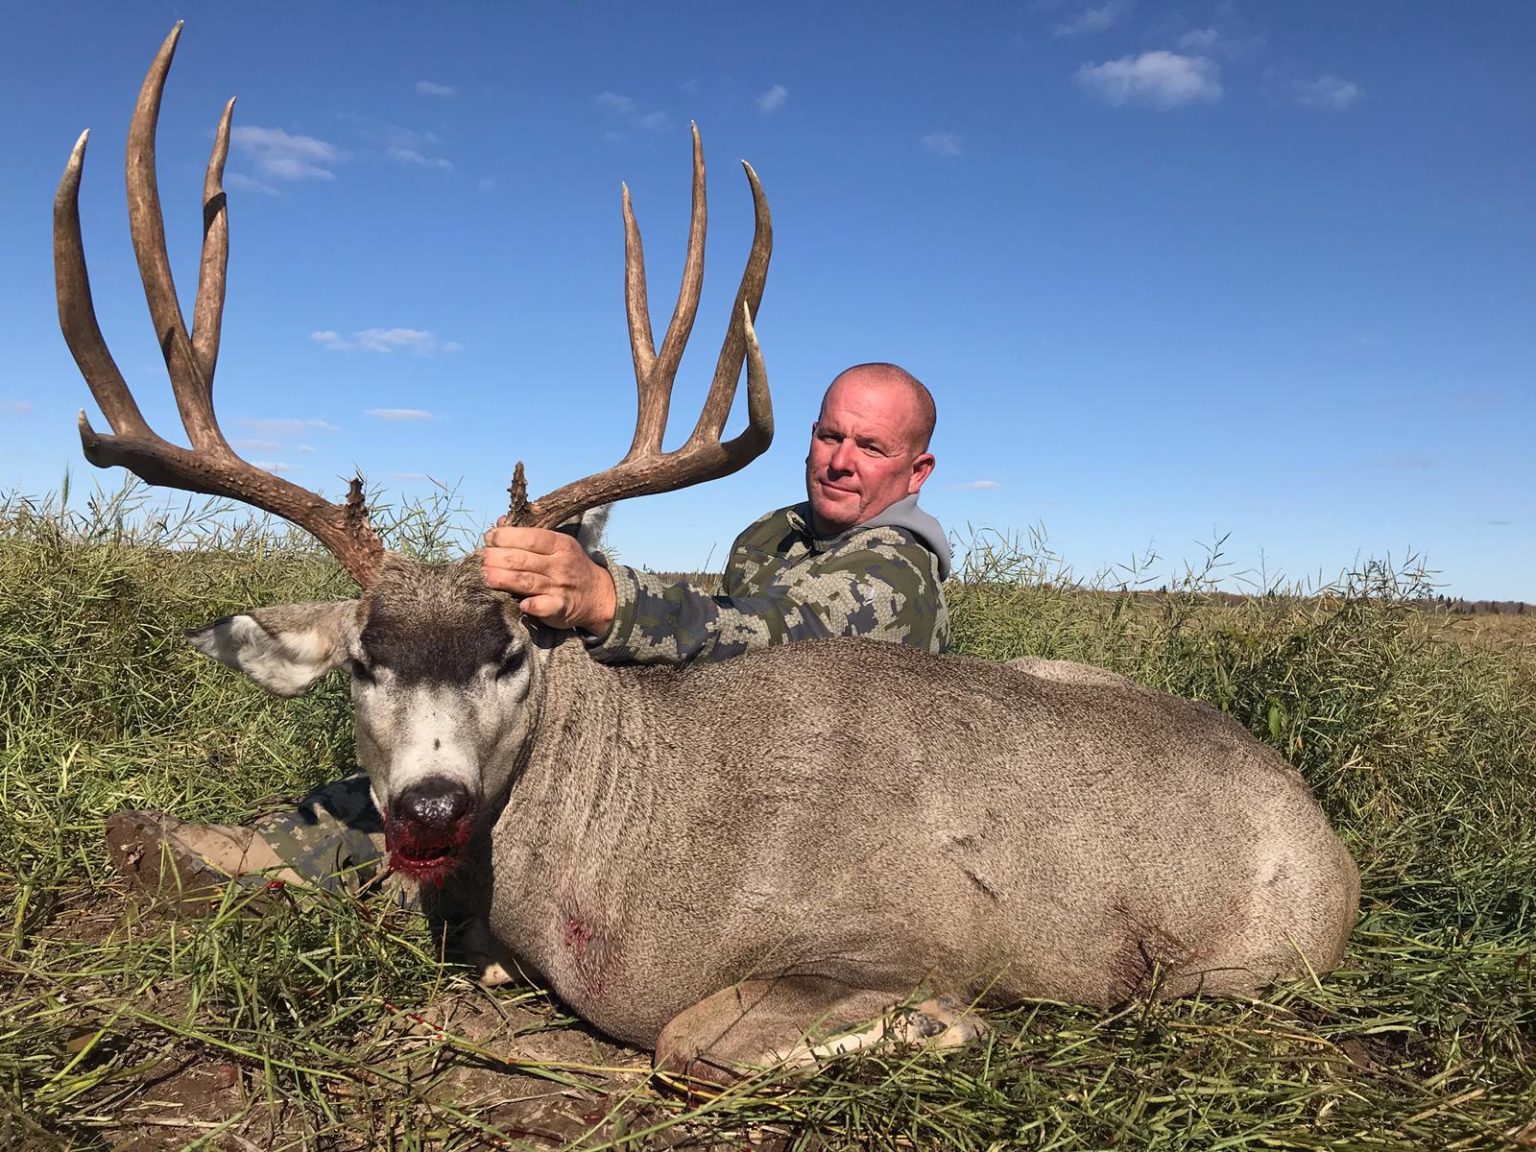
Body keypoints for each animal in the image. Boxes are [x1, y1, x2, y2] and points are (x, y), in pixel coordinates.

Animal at [57, 24, 1359, 1087]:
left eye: (511, 652)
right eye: (366, 662)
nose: (430, 805)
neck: (615, 850)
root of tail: (1330, 846)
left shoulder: (884, 931)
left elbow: (690, 1042)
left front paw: (943, 1023)